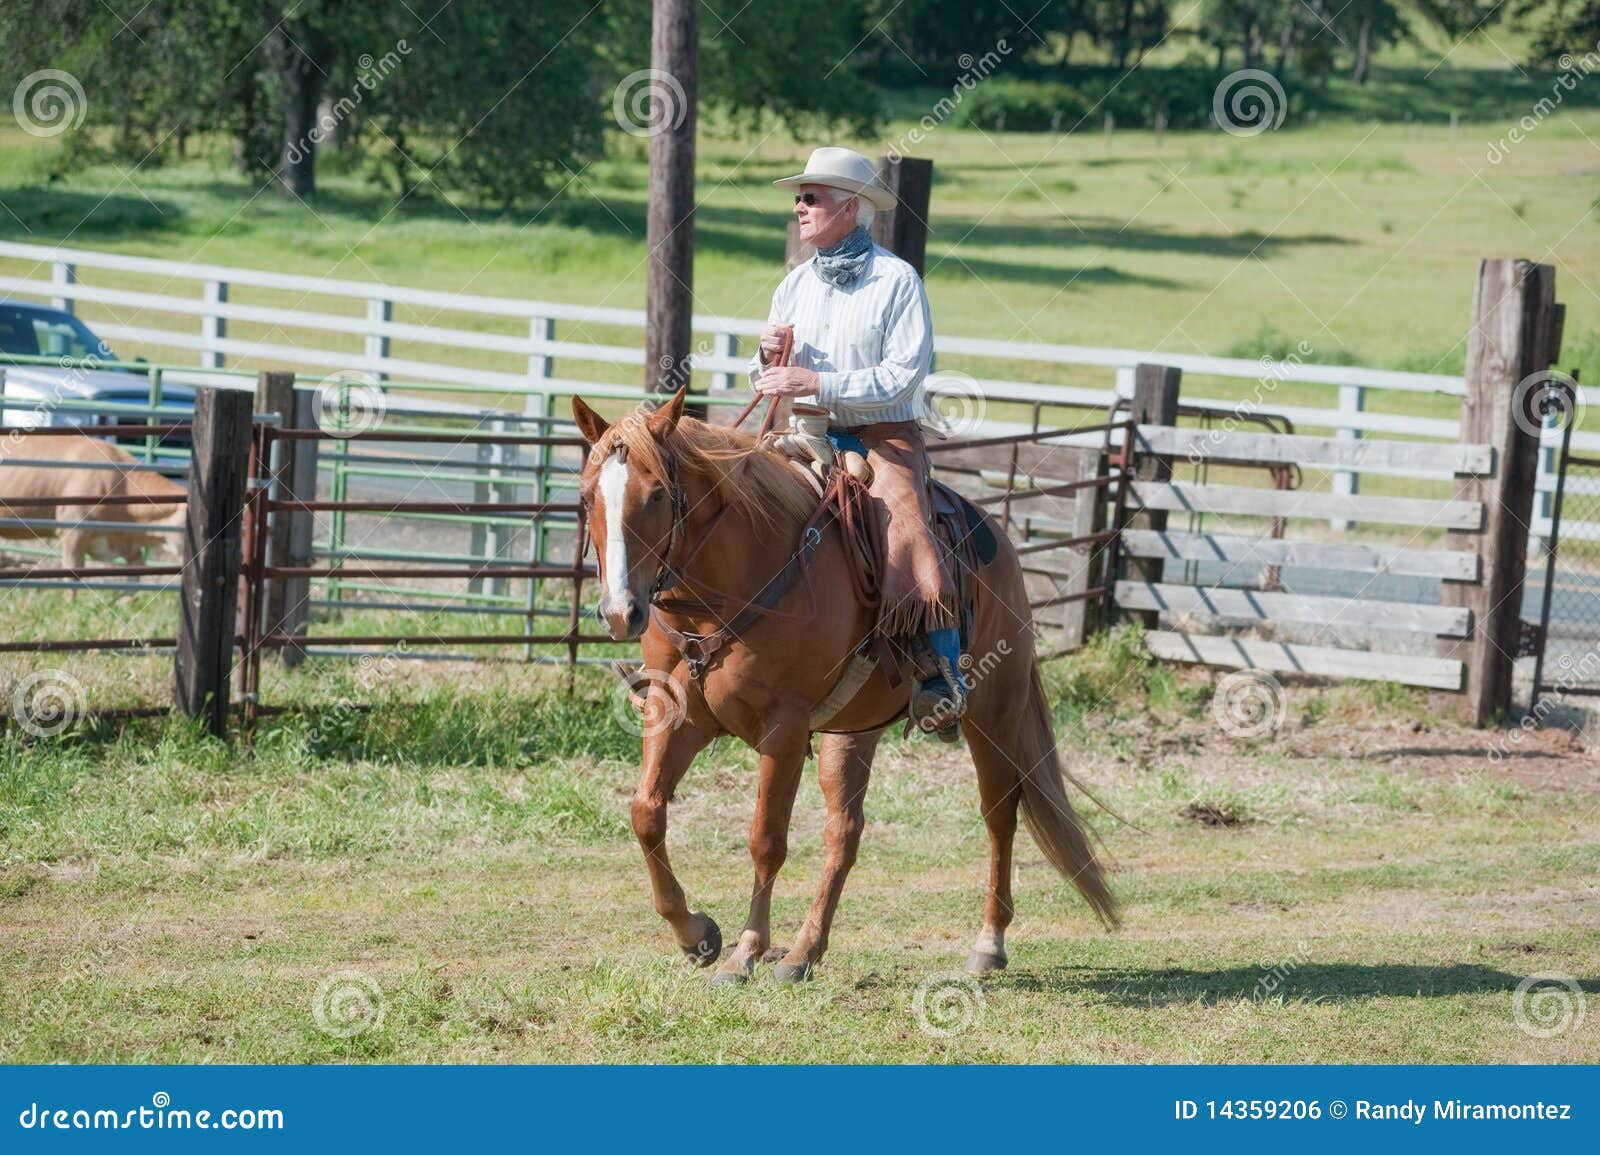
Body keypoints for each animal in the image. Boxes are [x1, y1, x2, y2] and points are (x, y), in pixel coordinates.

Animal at [571, 387, 1116, 984]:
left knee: (1000, 815)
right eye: (586, 498)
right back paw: (804, 952)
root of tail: (994, 536)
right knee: (845, 832)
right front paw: (697, 935)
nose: (620, 612)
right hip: (852, 732)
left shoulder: (783, 731)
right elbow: (646, 813)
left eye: (656, 496)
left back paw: (988, 945)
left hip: (995, 714)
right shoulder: (677, 714)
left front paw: (745, 952)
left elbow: (766, 839)